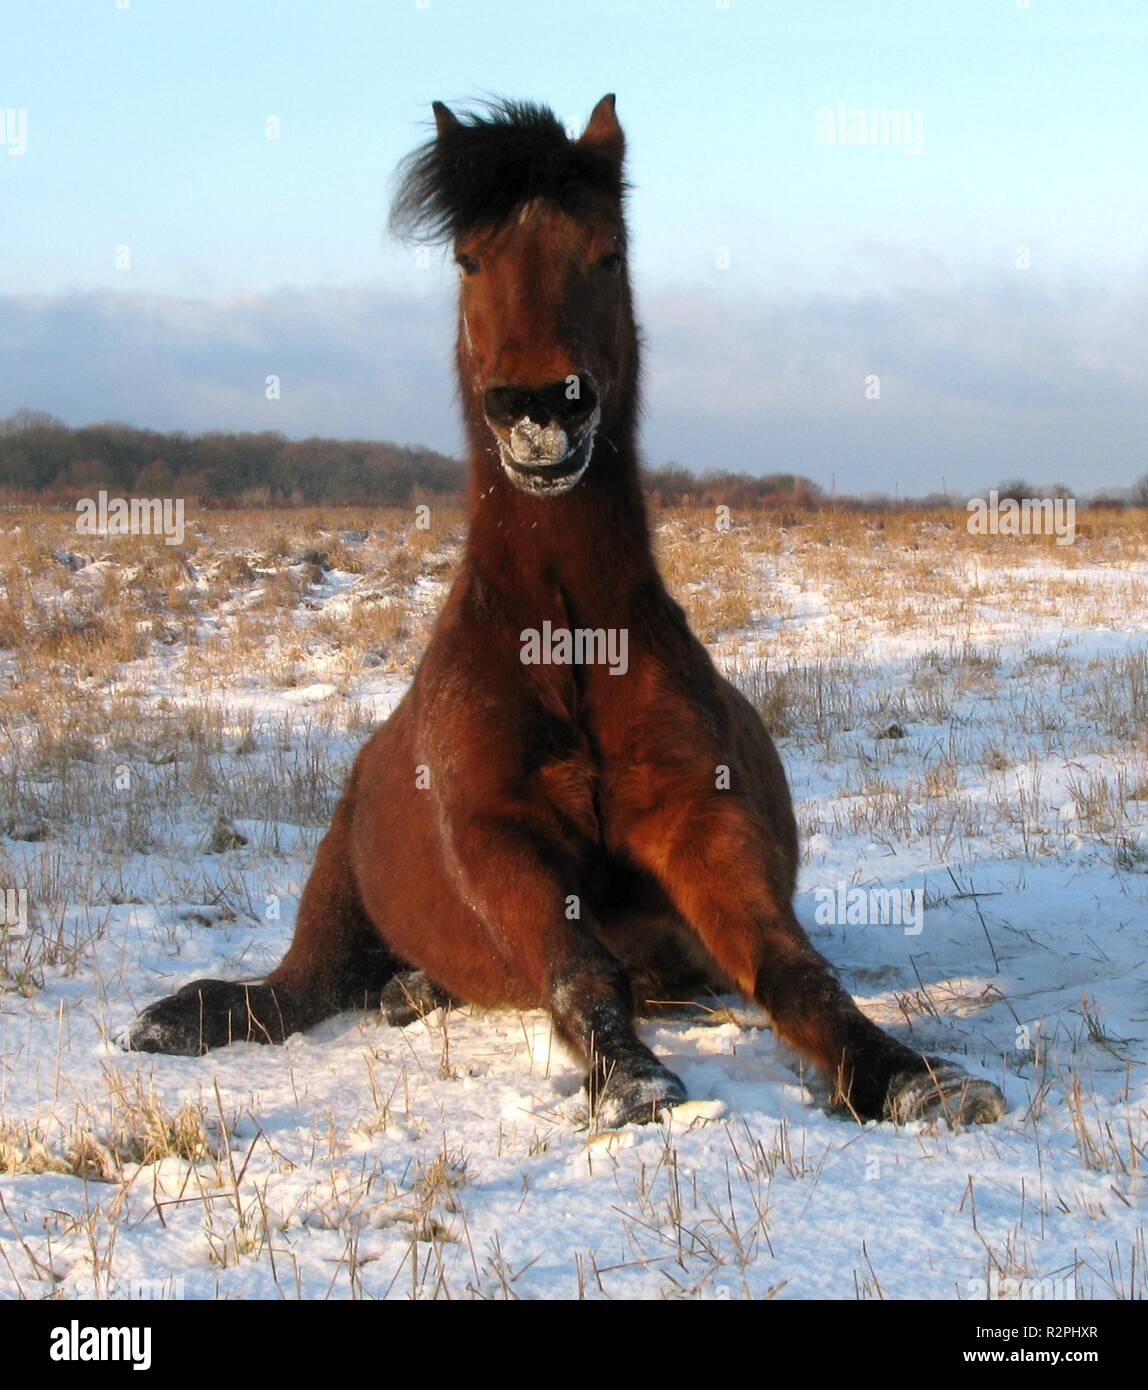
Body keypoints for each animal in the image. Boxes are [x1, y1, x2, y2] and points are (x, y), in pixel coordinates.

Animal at [128, 95, 1005, 1130]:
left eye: (608, 253)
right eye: (469, 258)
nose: (541, 409)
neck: (569, 641)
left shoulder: (699, 823)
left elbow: (796, 973)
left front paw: (914, 1076)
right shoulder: (497, 830)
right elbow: (579, 970)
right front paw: (634, 1082)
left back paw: (408, 990)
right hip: (336, 886)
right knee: (298, 987)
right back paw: (186, 1018)